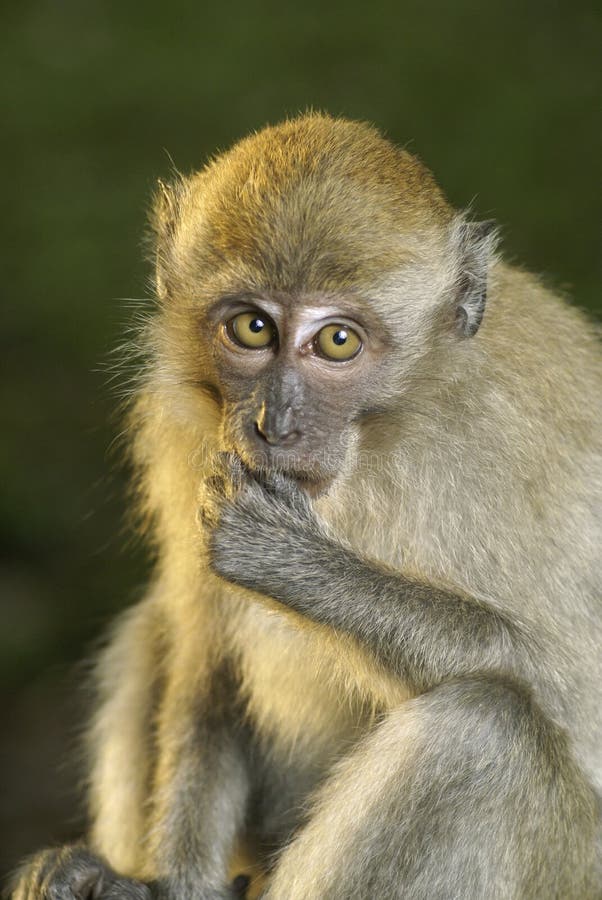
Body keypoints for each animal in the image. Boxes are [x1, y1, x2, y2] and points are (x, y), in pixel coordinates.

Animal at [10, 113, 602, 900]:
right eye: (252, 328)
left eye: (338, 341)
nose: (276, 423)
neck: (385, 432)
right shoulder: (184, 434)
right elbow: (205, 654)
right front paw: (175, 884)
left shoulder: (497, 444)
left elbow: (575, 698)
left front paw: (292, 563)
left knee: (483, 732)